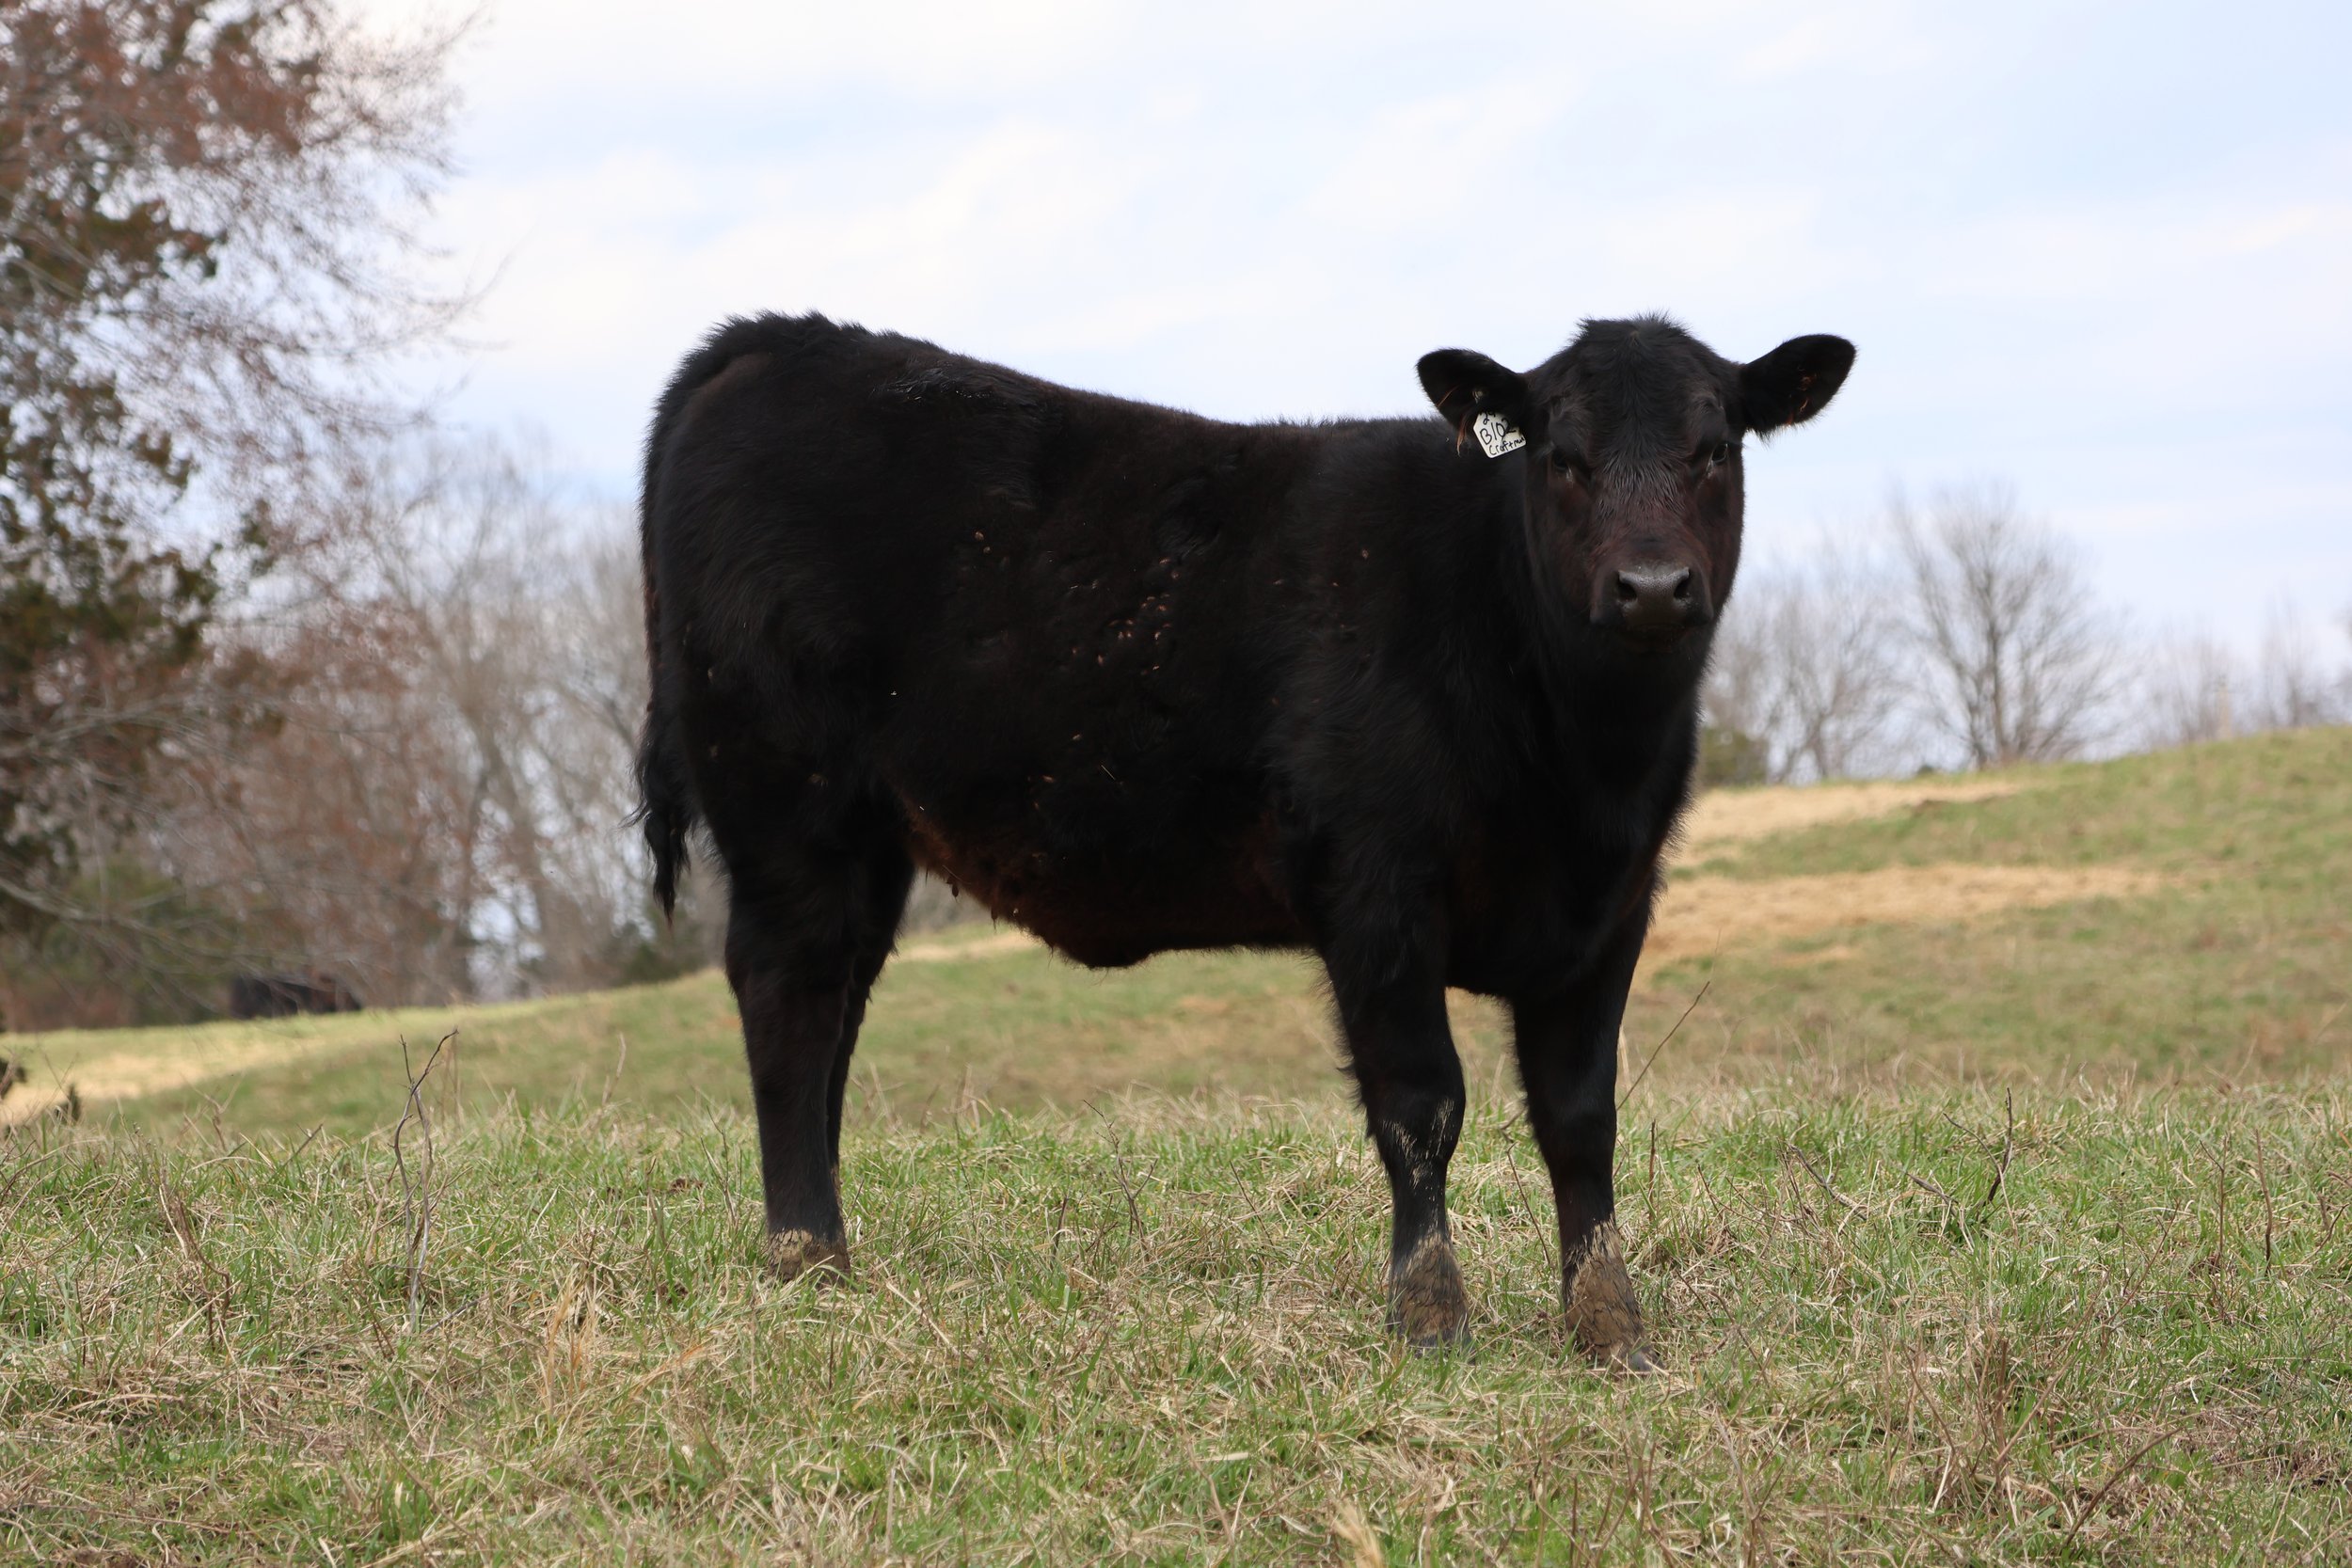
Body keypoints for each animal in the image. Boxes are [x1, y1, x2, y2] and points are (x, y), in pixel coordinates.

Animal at [635, 312, 1852, 1366]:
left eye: (1714, 448)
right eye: (1562, 454)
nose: (1650, 587)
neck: (1581, 755)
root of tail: (775, 341)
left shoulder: (1610, 904)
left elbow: (1579, 1115)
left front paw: (1610, 1323)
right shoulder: (1375, 886)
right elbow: (1423, 1103)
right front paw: (1430, 1312)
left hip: (869, 840)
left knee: (834, 1011)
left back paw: (831, 1244)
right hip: (787, 806)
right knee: (789, 1004)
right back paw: (804, 1255)